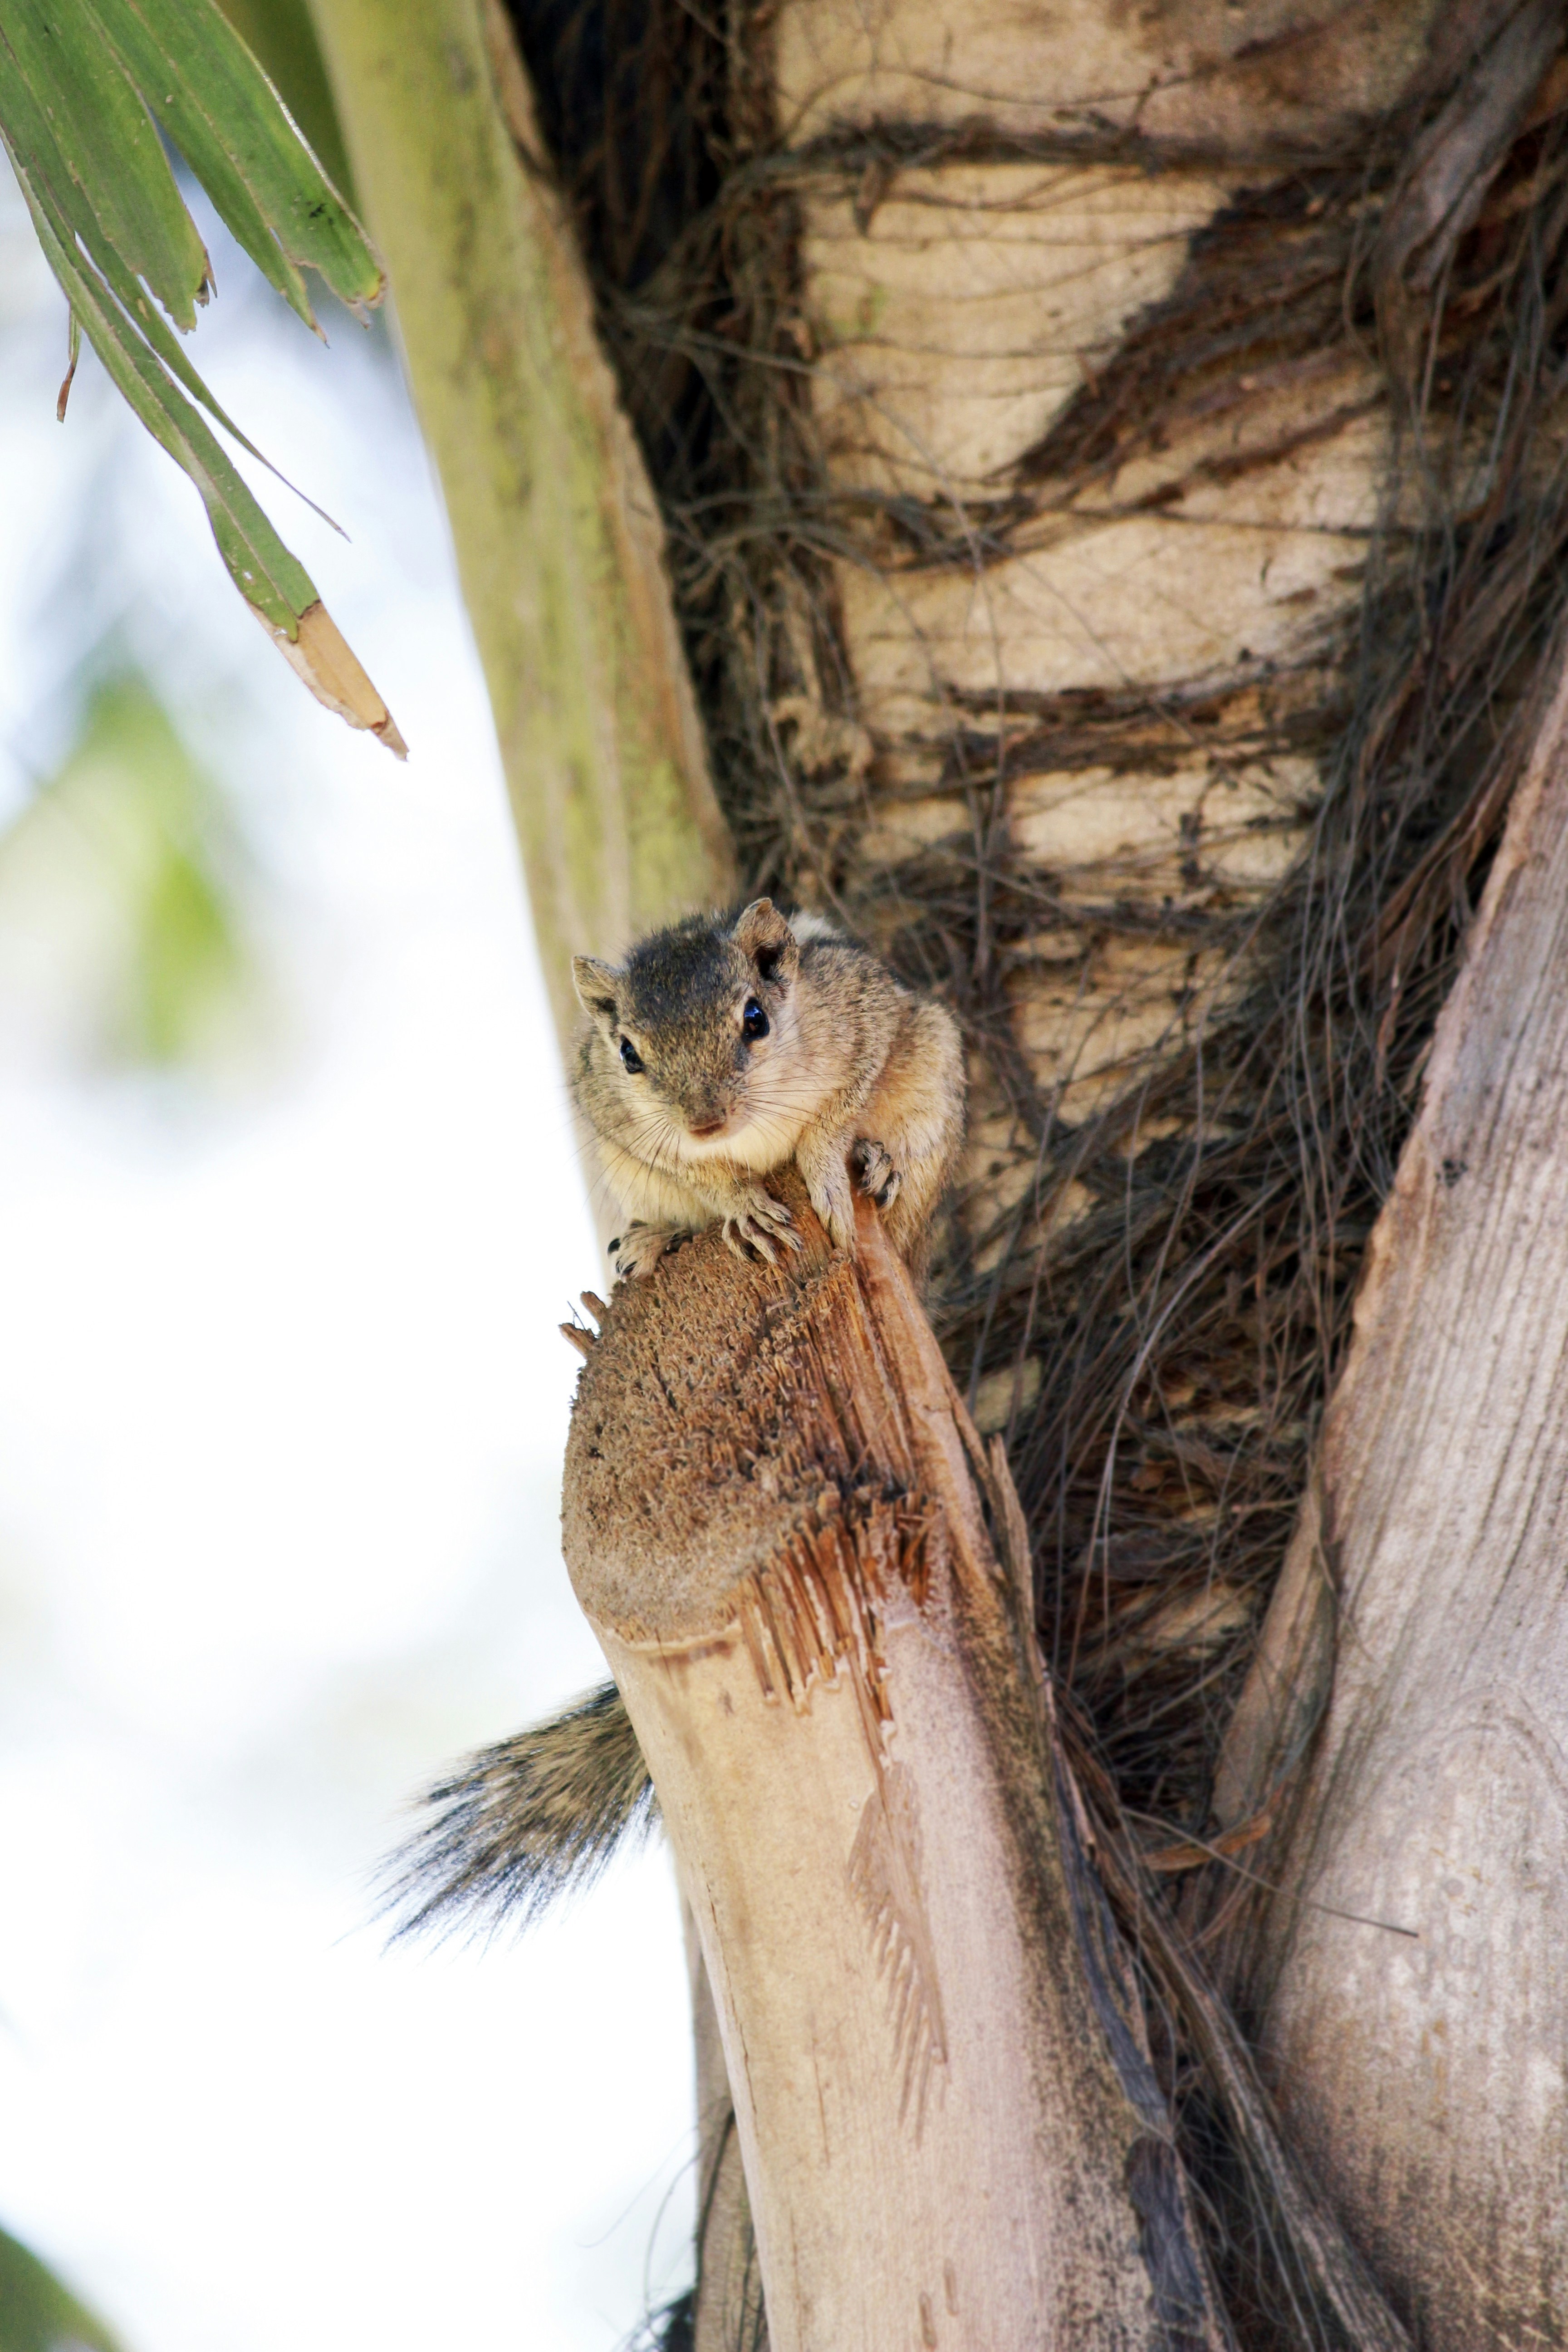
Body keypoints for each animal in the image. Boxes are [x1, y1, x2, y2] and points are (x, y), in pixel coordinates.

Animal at [570, 897, 965, 1286]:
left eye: (756, 1019)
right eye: (628, 1054)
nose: (705, 1124)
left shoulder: (863, 1010)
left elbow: (836, 1117)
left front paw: (828, 1182)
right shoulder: (613, 1116)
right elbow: (698, 1172)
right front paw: (746, 1206)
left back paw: (879, 1167)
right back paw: (652, 1241)